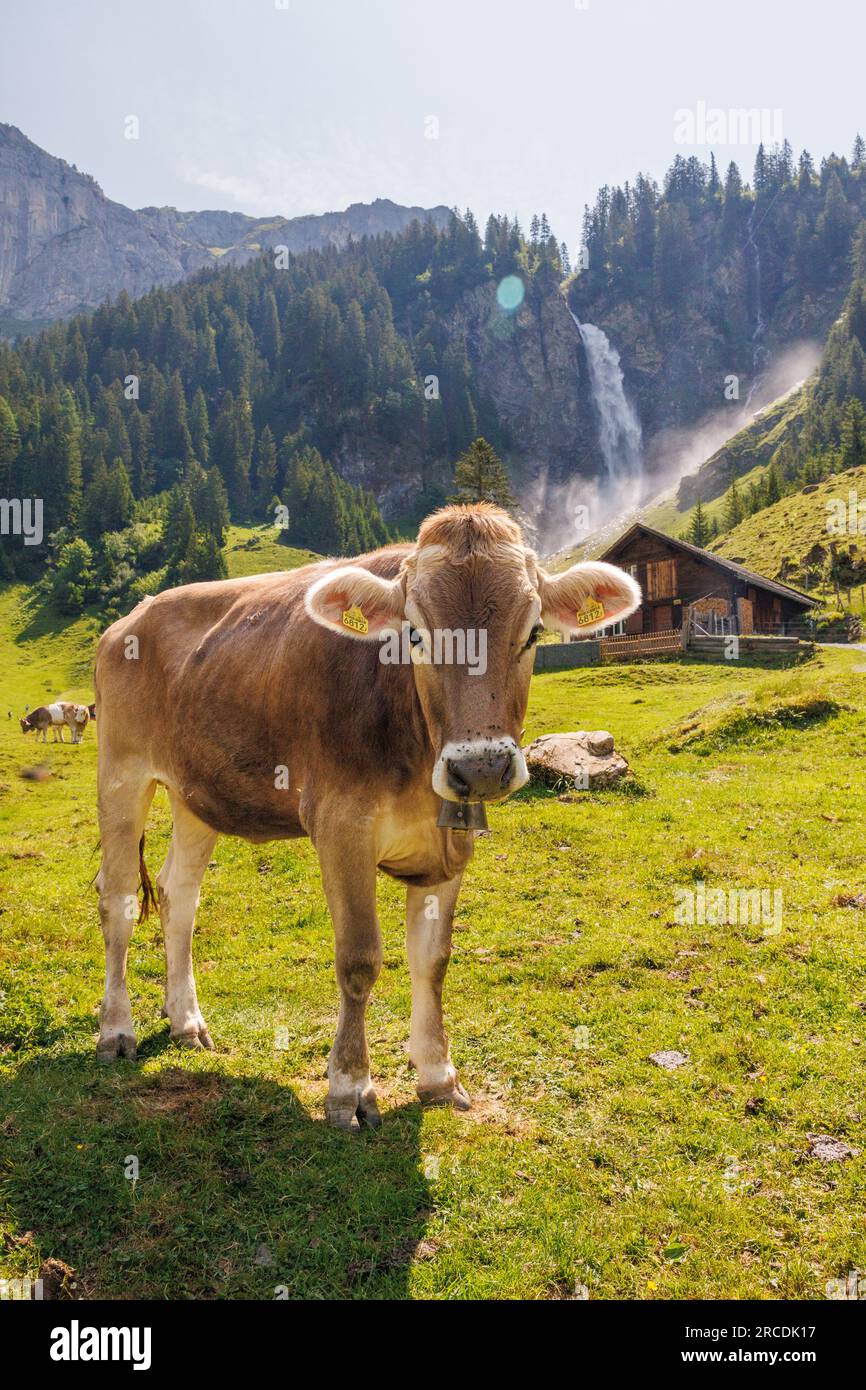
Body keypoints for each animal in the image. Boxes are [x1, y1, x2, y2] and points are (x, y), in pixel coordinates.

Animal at [93, 504, 640, 1129]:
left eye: (532, 633)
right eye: (415, 634)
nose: (480, 767)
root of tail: (131, 617)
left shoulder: (449, 848)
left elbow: (433, 961)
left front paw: (438, 1075)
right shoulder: (340, 826)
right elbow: (359, 959)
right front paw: (350, 1089)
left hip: (198, 793)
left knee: (178, 894)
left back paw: (186, 1020)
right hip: (121, 774)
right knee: (118, 898)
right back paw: (116, 1030)